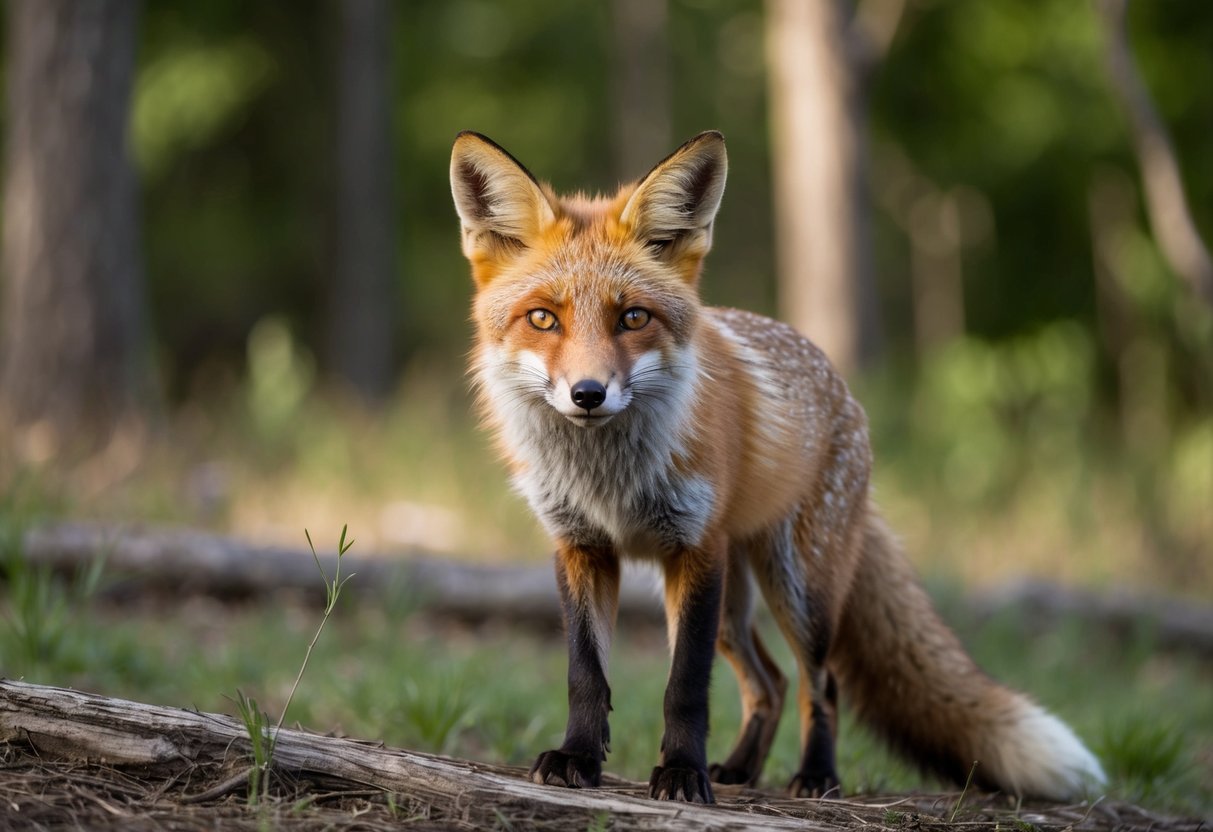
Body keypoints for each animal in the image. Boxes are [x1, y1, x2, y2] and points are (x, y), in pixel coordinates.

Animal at [448, 129, 1106, 805]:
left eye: (633, 317)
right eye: (543, 318)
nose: (587, 394)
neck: (610, 482)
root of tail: (845, 396)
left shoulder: (696, 549)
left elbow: (685, 688)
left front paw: (681, 772)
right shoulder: (581, 547)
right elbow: (586, 675)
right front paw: (578, 758)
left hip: (794, 589)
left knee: (820, 682)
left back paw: (816, 775)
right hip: (724, 606)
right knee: (770, 682)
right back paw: (740, 768)